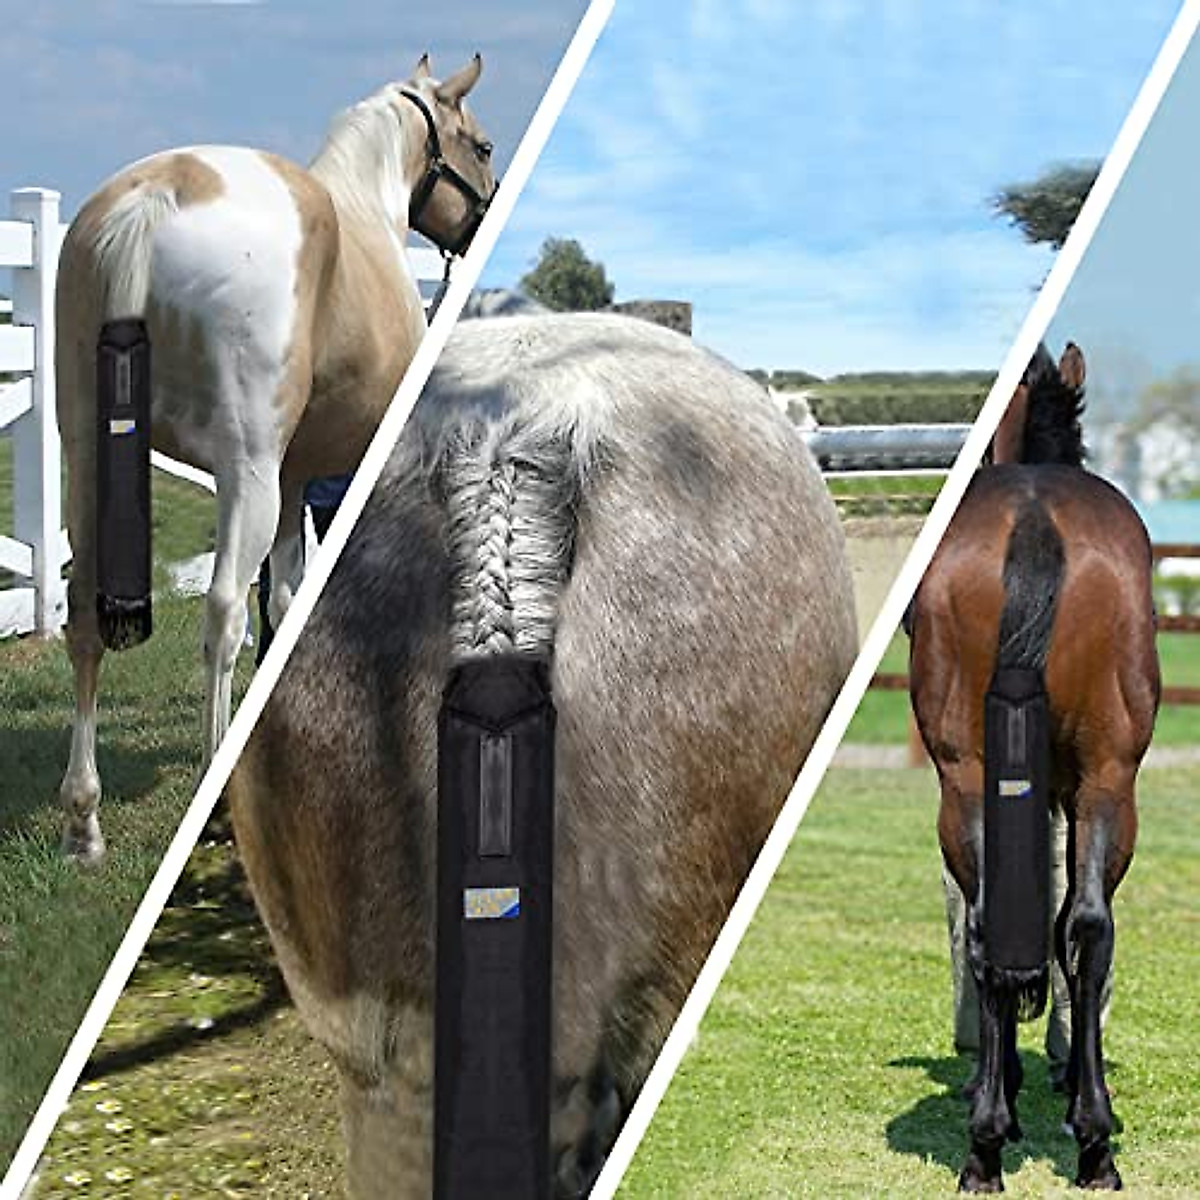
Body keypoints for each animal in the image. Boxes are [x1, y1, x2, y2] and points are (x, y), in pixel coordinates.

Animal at [54, 54, 496, 865]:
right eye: (479, 146)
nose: (481, 219)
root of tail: (157, 195)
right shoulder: (305, 479)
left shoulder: (295, 482)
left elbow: (288, 599)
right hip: (244, 474)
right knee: (223, 613)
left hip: (88, 462)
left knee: (83, 612)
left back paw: (83, 821)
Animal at [909, 343, 1160, 1192]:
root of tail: (1035, 522)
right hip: (1106, 777)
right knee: (1082, 925)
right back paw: (1086, 1143)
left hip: (975, 782)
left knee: (1007, 925)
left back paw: (994, 1141)